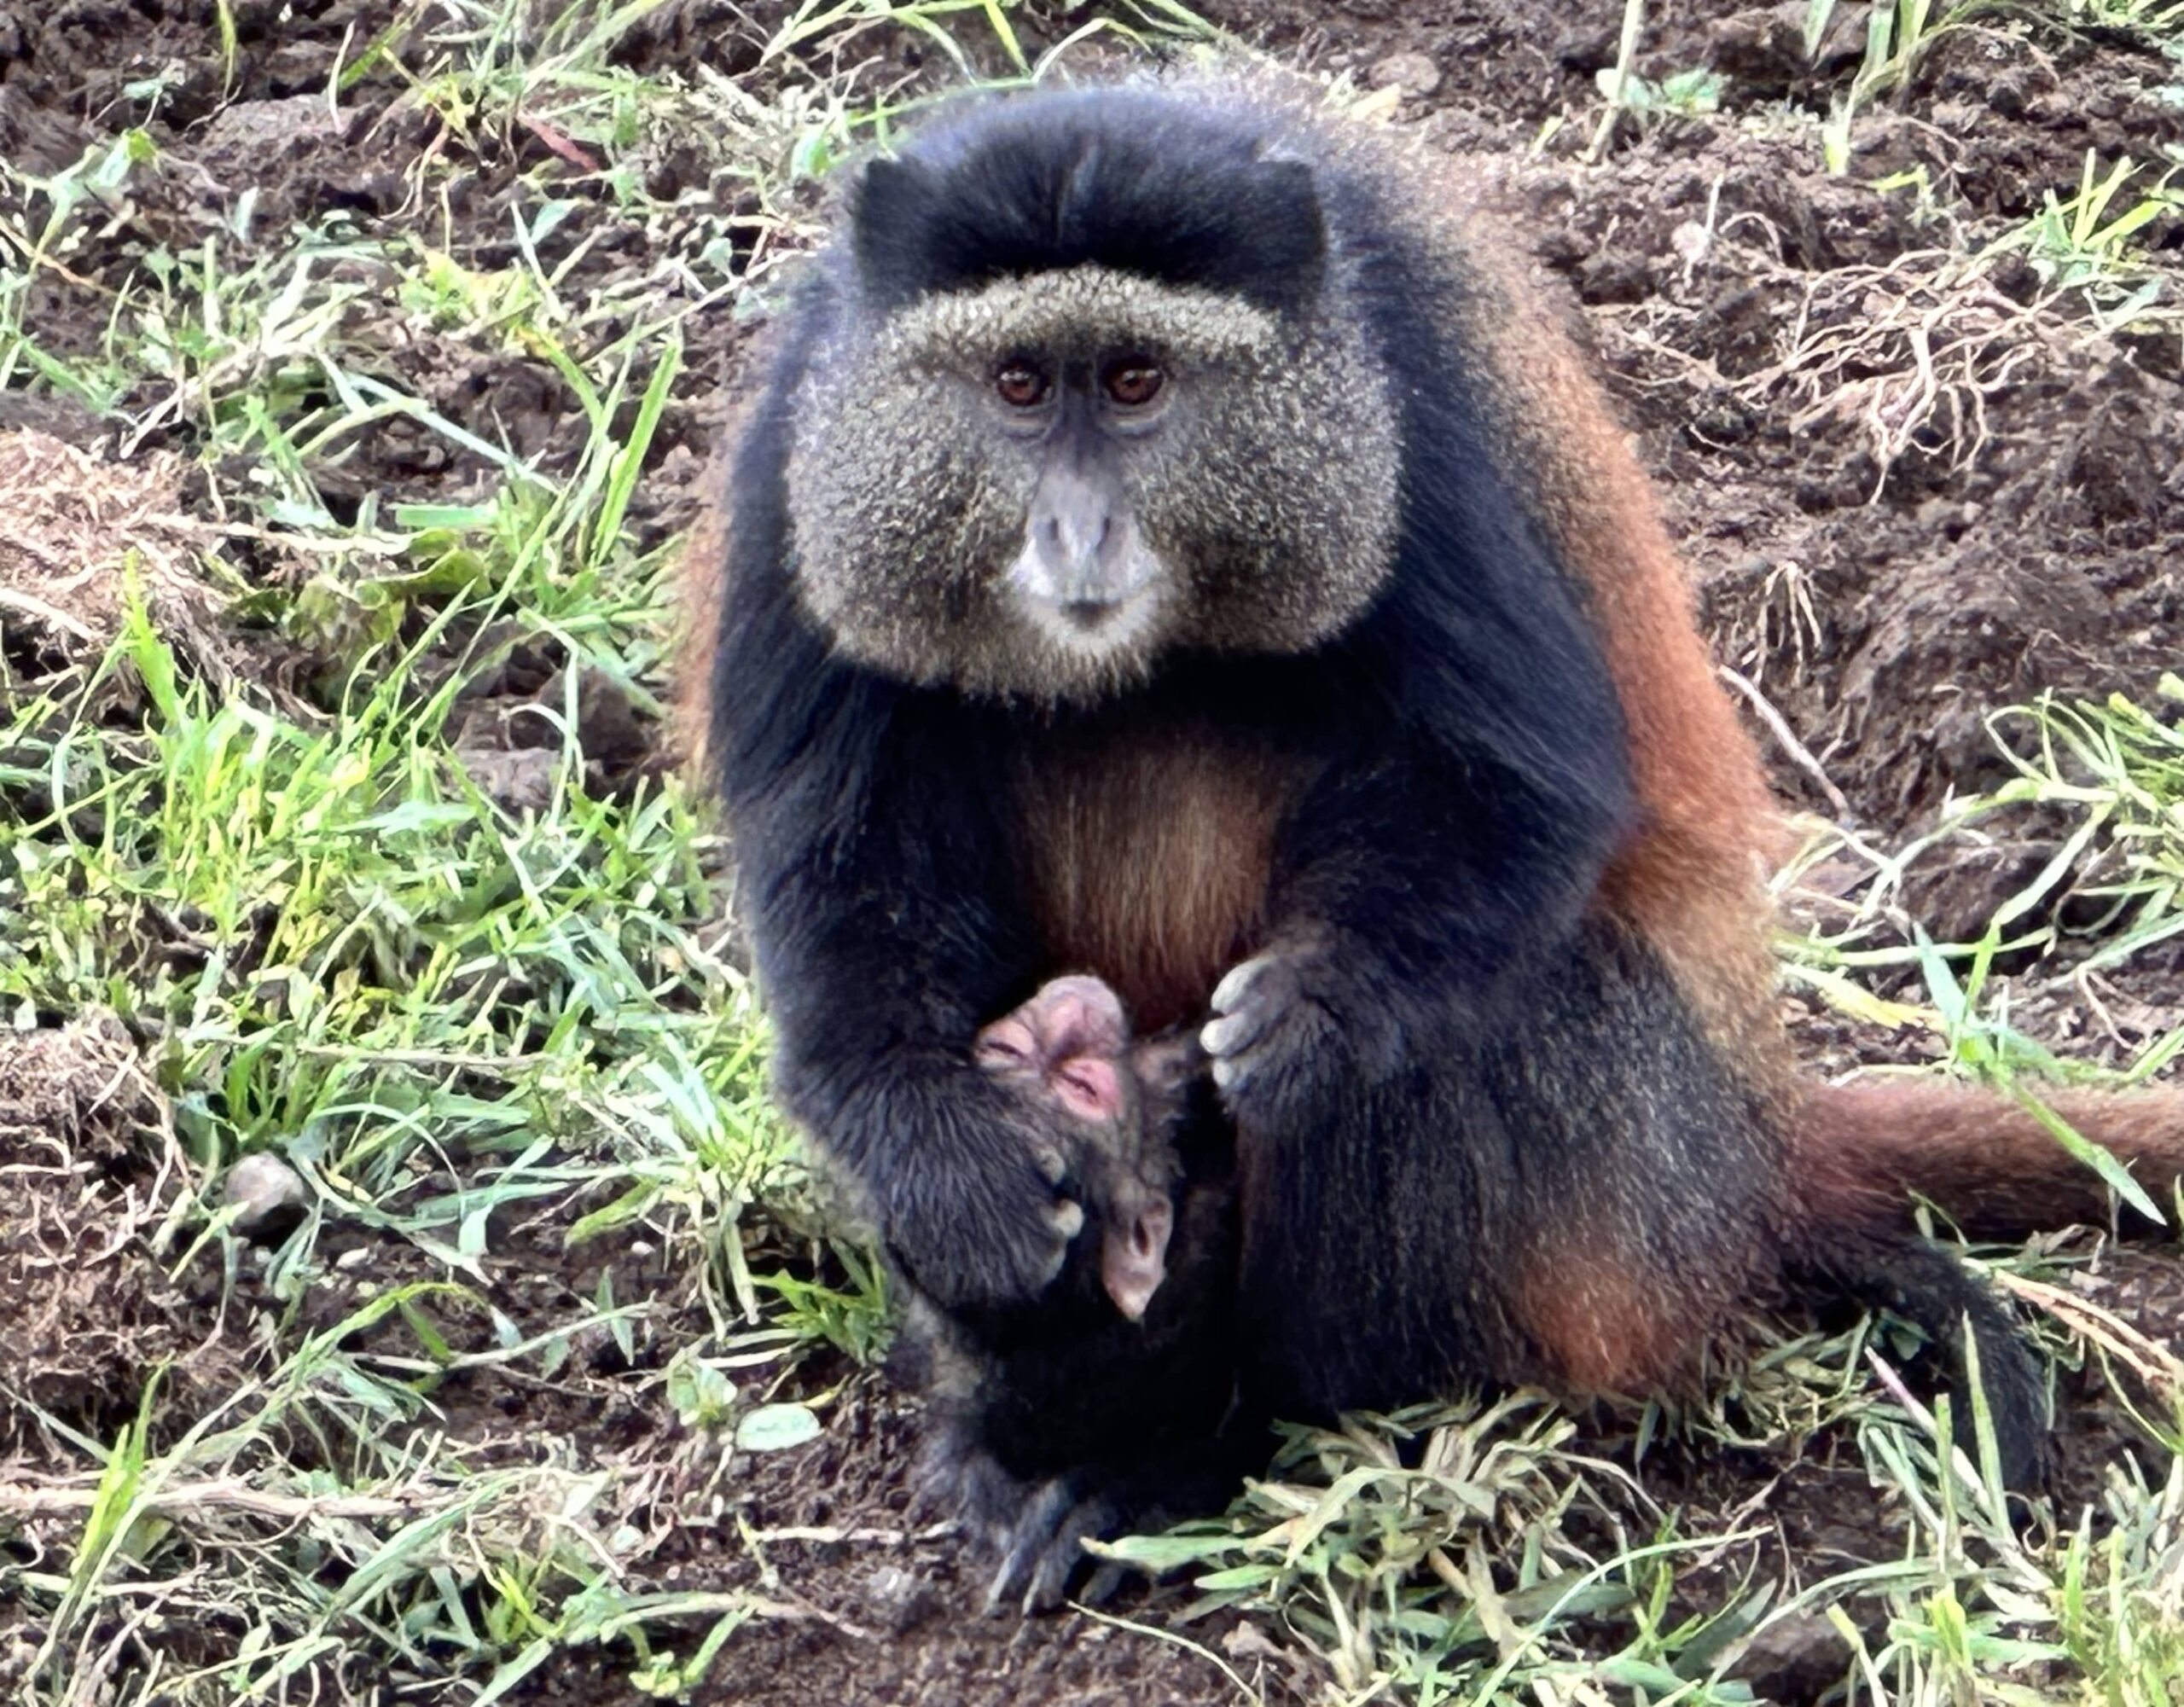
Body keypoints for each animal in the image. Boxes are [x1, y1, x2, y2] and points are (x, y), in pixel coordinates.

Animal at [693, 75, 2184, 1608]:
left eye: (1137, 383)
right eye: (1017, 387)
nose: (1076, 530)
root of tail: (1755, 1138)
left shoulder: (1424, 416)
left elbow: (1512, 786)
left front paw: (1320, 1010)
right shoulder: (800, 458)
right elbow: (839, 862)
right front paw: (940, 1153)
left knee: (1474, 1032)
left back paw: (1204, 1434)